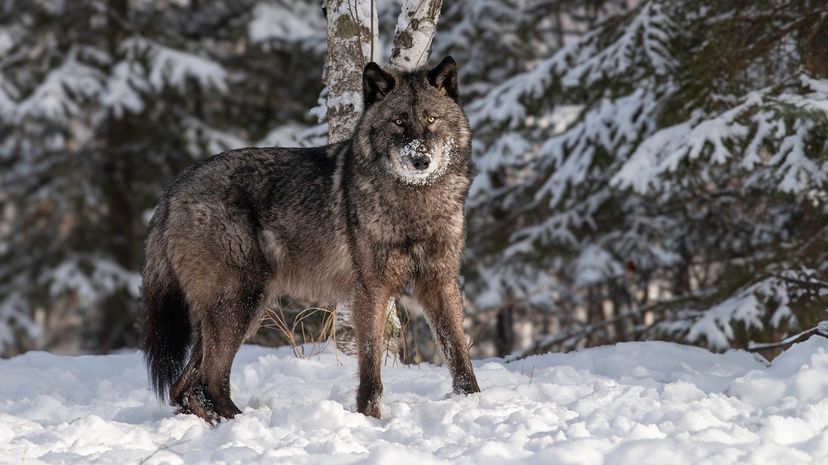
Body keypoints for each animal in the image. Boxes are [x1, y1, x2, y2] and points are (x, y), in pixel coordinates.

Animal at [141, 55, 478, 420]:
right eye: (399, 121)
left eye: (431, 119)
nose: (420, 159)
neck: (416, 203)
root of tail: (173, 188)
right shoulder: (371, 289)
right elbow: (371, 361)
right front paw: (370, 415)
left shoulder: (439, 282)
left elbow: (458, 351)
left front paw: (472, 400)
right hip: (241, 305)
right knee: (209, 380)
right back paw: (240, 422)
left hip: (237, 310)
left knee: (185, 388)